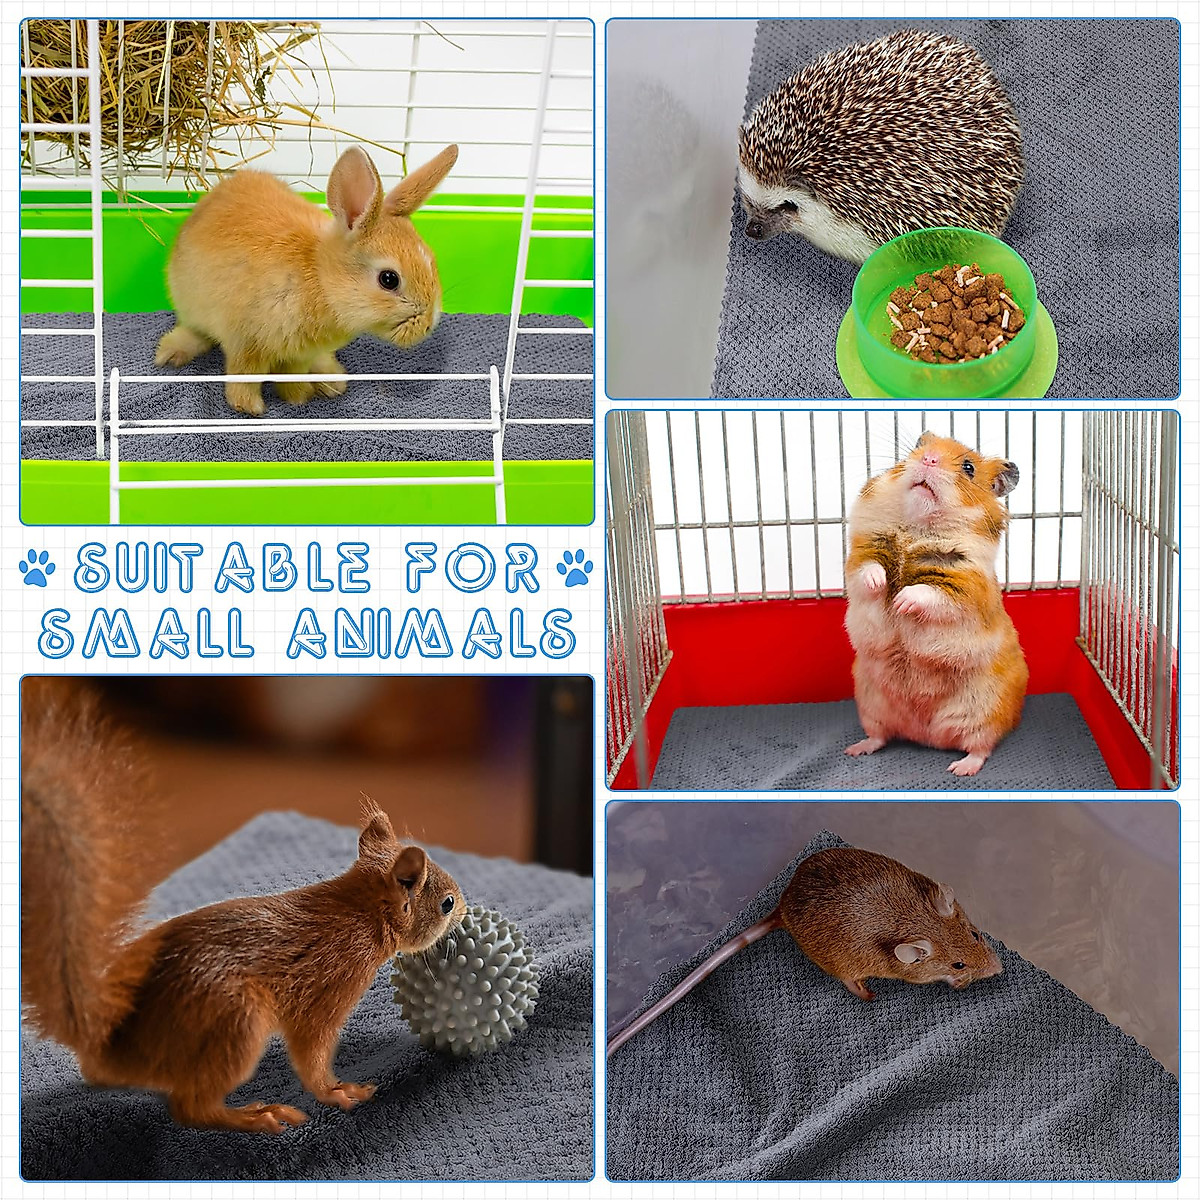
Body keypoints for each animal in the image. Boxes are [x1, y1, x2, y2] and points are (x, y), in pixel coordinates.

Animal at [154, 144, 458, 416]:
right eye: (388, 279)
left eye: (432, 260)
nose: (428, 326)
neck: (321, 280)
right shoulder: (246, 343)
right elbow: (245, 375)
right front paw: (250, 408)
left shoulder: (298, 355)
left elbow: (293, 375)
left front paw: (298, 397)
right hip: (192, 306)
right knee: (197, 332)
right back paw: (169, 354)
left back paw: (331, 380)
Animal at [607, 846, 1002, 1057]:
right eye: (958, 963)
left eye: (976, 934)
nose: (999, 970)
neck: (915, 920)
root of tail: (780, 909)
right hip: (844, 967)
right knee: (850, 983)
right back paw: (868, 993)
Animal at [843, 432, 1029, 777]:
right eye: (918, 448)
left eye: (968, 468)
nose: (928, 459)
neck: (917, 526)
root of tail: (926, 736)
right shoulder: (862, 552)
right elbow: (867, 570)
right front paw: (881, 585)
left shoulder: (963, 585)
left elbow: (929, 593)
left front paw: (901, 602)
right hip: (871, 704)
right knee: (879, 736)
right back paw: (856, 749)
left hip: (985, 712)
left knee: (980, 747)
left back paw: (960, 768)